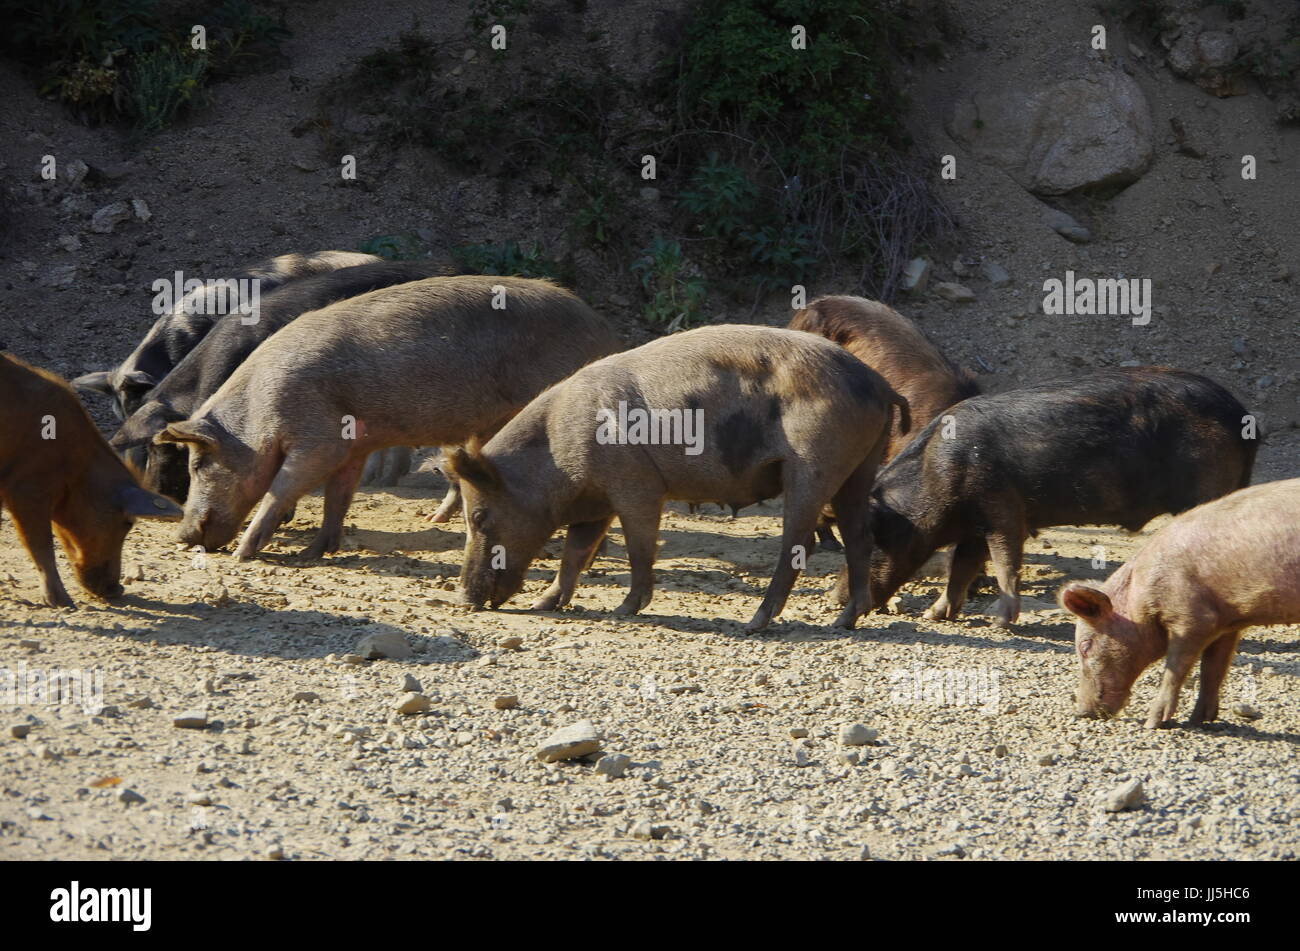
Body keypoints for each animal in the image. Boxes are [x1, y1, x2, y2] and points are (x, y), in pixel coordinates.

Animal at [0, 352, 183, 607]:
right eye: (127, 523)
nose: (117, 590)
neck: (78, 465)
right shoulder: (27, 487)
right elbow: (40, 543)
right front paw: (63, 603)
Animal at [155, 276, 620, 560]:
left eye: (198, 463)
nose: (181, 536)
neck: (258, 411)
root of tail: (603, 329)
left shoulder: (319, 439)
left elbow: (281, 489)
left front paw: (243, 554)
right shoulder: (354, 445)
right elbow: (338, 496)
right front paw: (314, 552)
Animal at [446, 324, 909, 631]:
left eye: (479, 517)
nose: (464, 599)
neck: (557, 452)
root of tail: (878, 384)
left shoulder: (636, 486)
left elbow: (639, 548)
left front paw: (623, 610)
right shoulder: (595, 502)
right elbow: (574, 554)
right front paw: (545, 605)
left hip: (814, 463)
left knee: (800, 543)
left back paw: (755, 623)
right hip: (860, 466)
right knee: (858, 536)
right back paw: (844, 621)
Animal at [835, 367, 1257, 628]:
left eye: (875, 537)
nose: (837, 596)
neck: (935, 474)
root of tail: (1241, 416)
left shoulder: (1003, 509)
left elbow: (1005, 561)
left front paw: (1000, 622)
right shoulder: (974, 525)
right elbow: (961, 568)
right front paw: (935, 616)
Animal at [1060, 478, 1300, 729]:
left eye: (1085, 646)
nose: (1082, 712)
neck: (1139, 596)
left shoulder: (1192, 618)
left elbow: (1175, 670)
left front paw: (1152, 724)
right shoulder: (1227, 623)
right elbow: (1212, 669)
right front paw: (1198, 721)